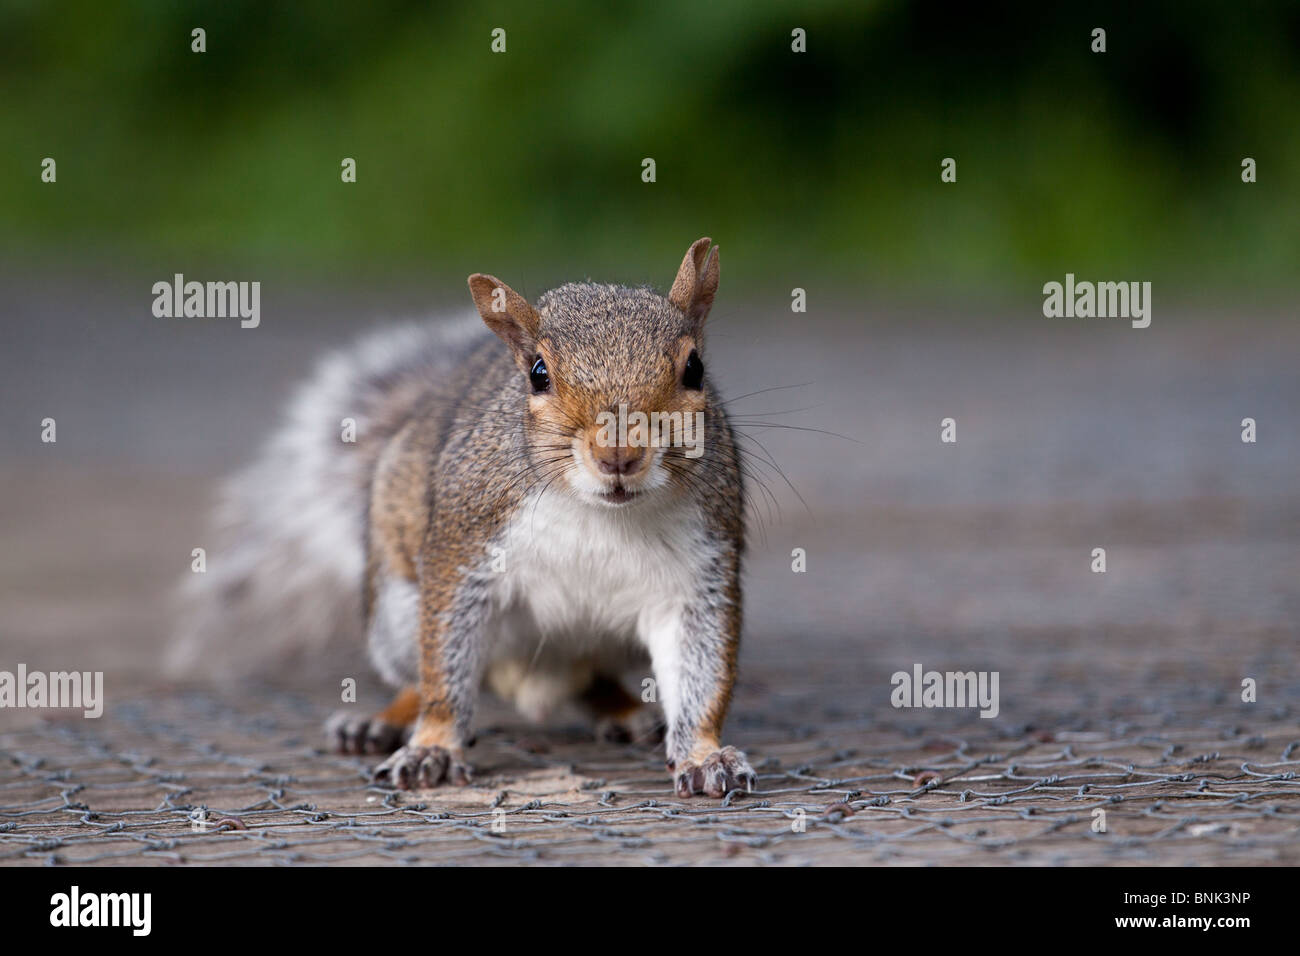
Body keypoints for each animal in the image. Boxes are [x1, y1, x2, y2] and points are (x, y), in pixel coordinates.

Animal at [169, 237, 754, 798]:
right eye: (538, 374)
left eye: (695, 368)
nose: (619, 455)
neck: (599, 511)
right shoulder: (464, 548)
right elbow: (445, 668)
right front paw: (432, 748)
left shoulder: (699, 572)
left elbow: (701, 673)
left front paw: (704, 756)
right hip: (397, 616)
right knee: (420, 675)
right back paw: (382, 721)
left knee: (592, 679)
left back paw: (627, 711)